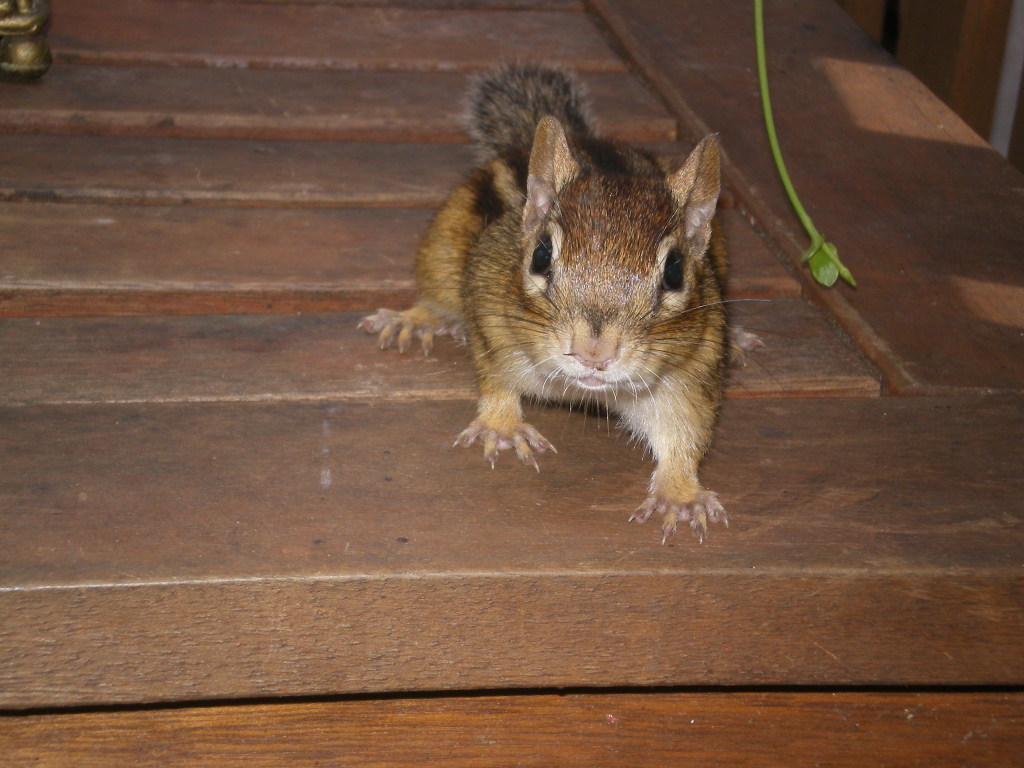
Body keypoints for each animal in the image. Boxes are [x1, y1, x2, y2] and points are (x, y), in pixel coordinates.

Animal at [361, 63, 730, 543]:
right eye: (540, 255)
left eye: (675, 272)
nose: (594, 354)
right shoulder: (491, 322)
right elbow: (495, 376)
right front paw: (502, 426)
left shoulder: (693, 371)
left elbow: (686, 433)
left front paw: (681, 494)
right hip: (440, 254)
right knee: (437, 295)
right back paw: (415, 318)